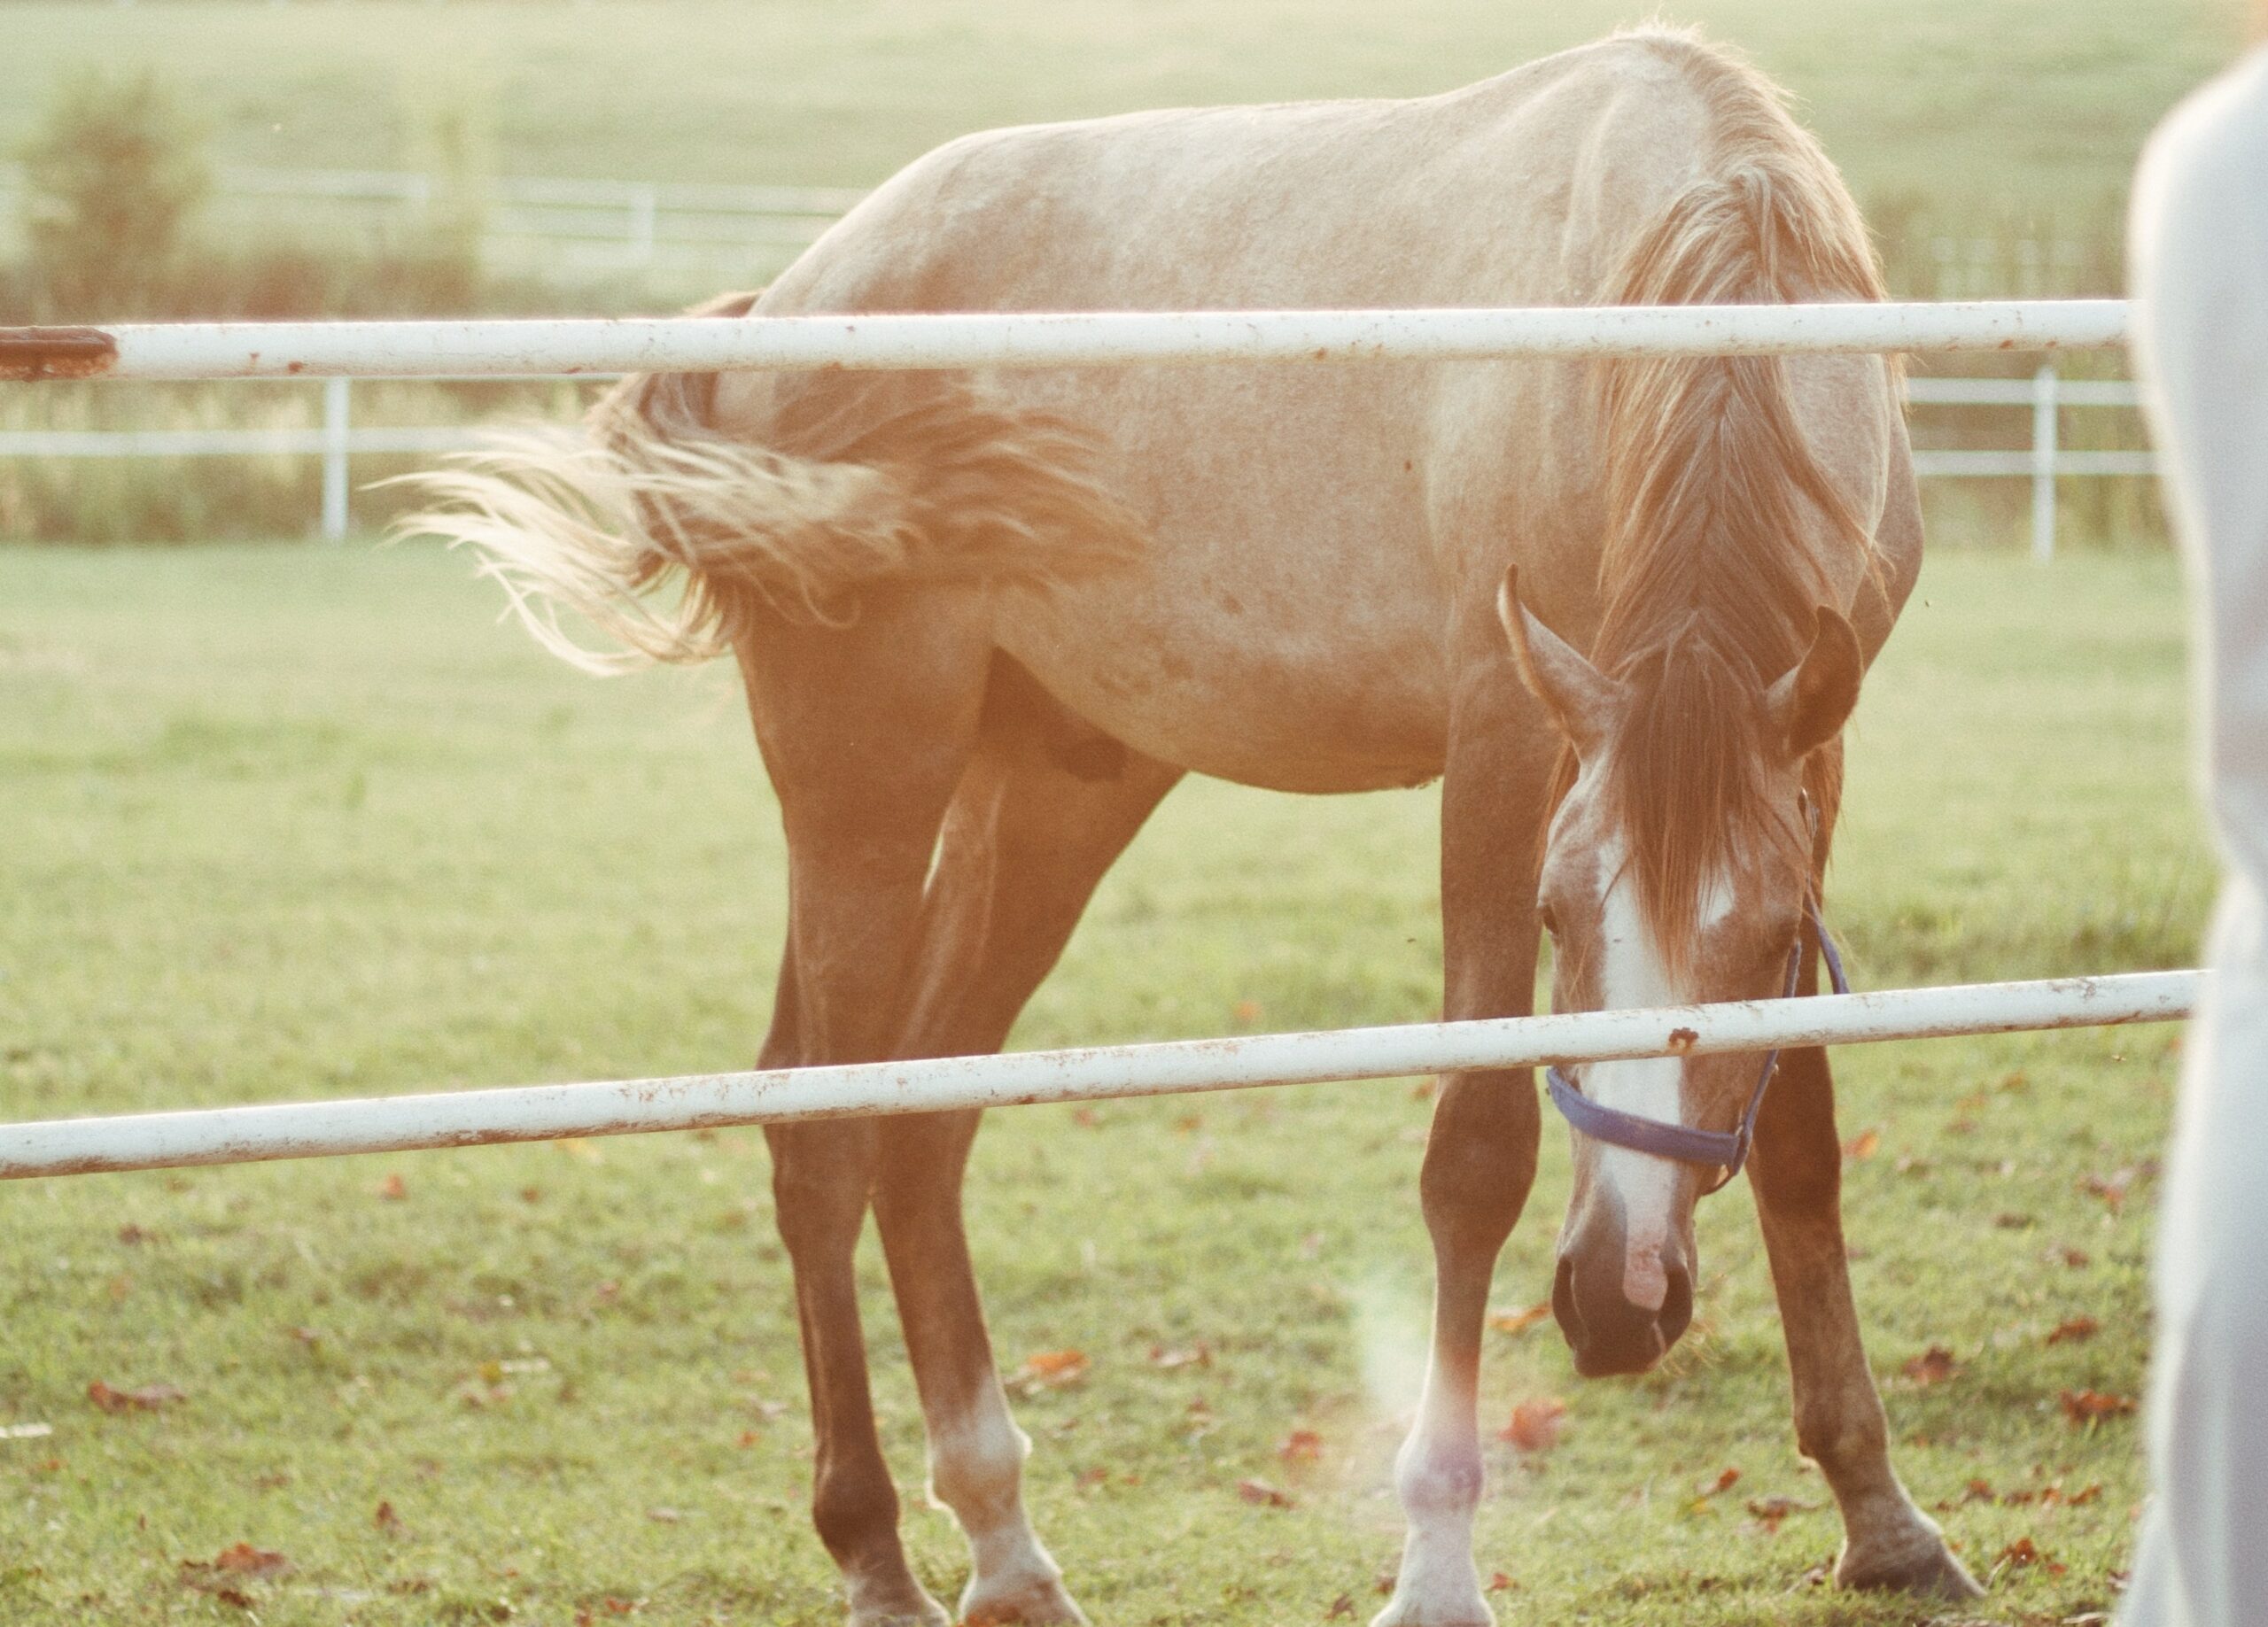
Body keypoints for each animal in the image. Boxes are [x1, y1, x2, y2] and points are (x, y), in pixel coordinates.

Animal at [408, 27, 1981, 1626]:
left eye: (1771, 934)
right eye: (1556, 915)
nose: (1616, 1303)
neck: (1671, 274)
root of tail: (780, 316)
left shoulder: (1806, 758)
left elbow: (1802, 1135)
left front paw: (1882, 1513)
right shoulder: (1506, 741)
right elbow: (1475, 1151)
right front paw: (1436, 1559)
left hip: (1050, 799)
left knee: (924, 1123)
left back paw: (1004, 1542)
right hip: (868, 783)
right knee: (824, 1128)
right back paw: (876, 1555)